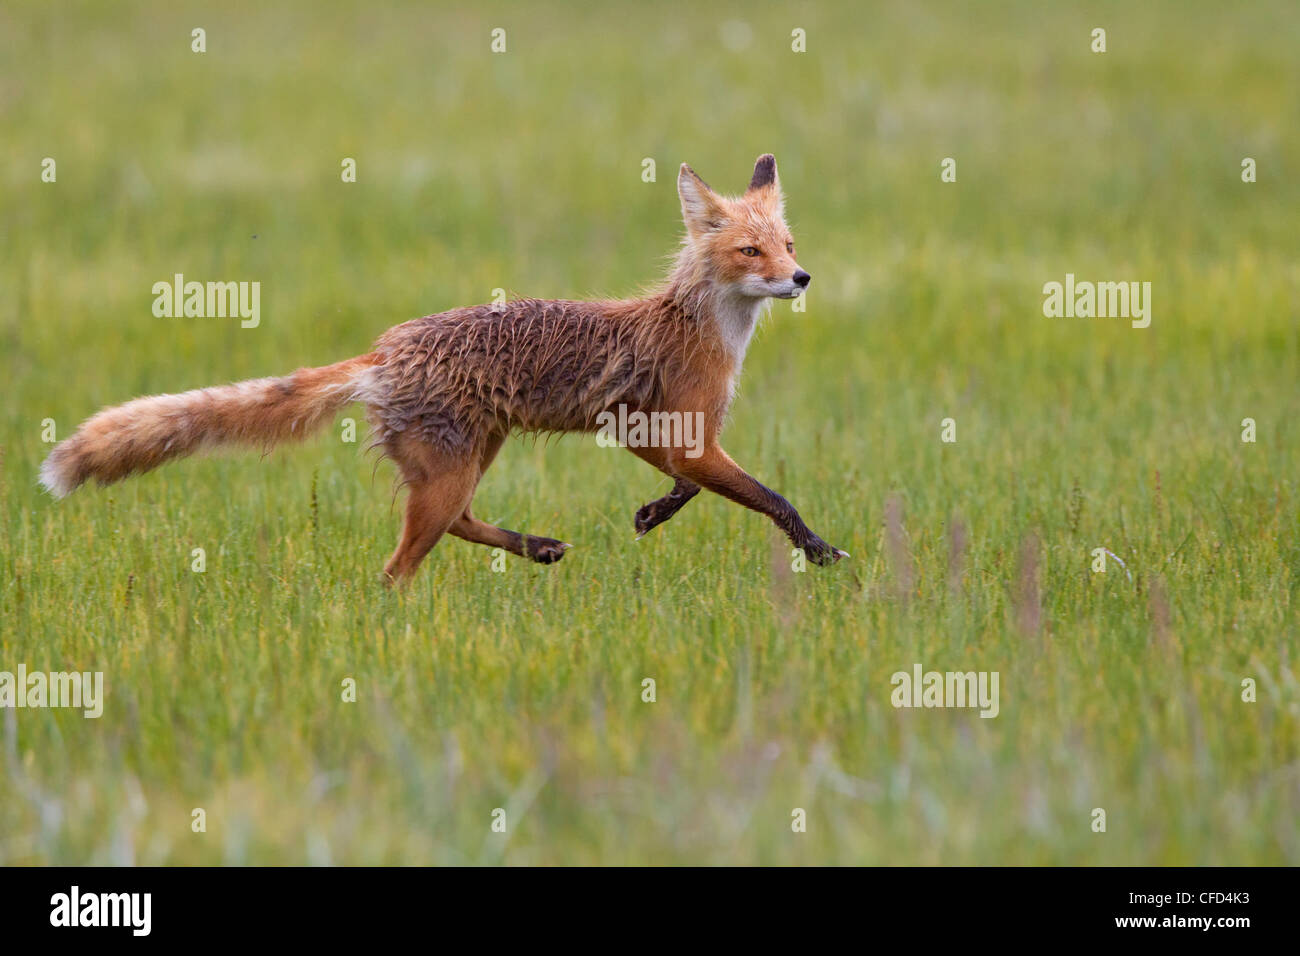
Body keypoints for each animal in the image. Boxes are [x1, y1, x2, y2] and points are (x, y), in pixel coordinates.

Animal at [40, 154, 848, 583]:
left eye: (788, 242)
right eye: (751, 251)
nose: (802, 277)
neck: (703, 327)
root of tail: (382, 348)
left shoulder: (653, 433)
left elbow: (691, 487)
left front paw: (652, 513)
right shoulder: (686, 434)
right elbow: (773, 498)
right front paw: (819, 550)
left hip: (466, 460)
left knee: (457, 525)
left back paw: (537, 547)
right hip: (450, 472)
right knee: (396, 569)